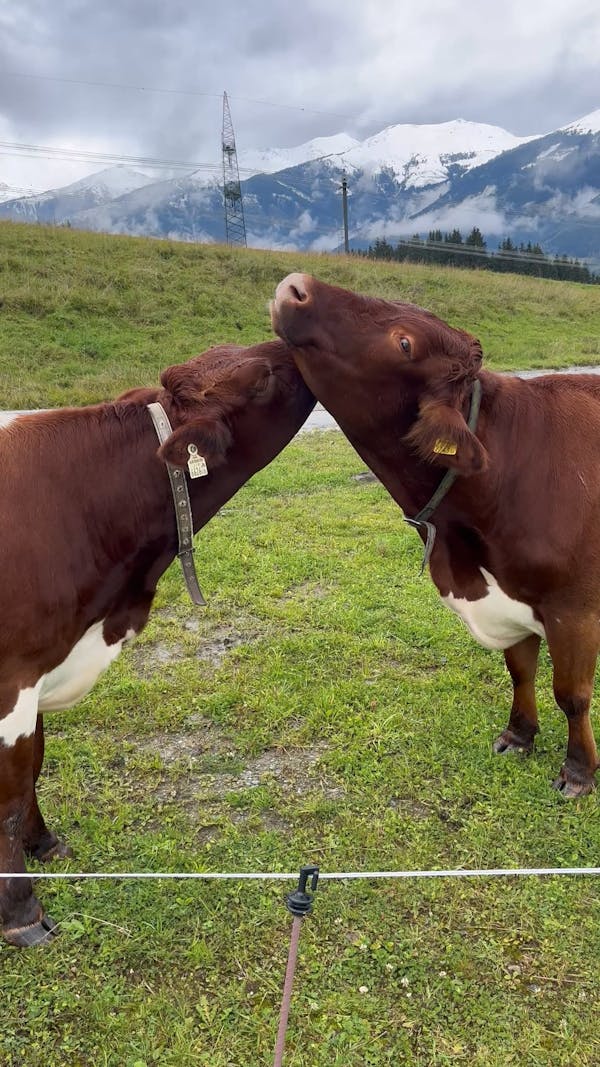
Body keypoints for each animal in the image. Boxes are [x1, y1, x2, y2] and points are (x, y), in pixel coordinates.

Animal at [0, 339, 314, 947]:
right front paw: (21, 913)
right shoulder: (11, 681)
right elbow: (7, 795)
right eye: (262, 377)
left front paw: (44, 843)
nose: (296, 343)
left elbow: (32, 771)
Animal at [271, 271, 600, 803]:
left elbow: (571, 695)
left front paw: (578, 771)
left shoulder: (575, 608)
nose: (295, 284)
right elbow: (520, 670)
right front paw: (518, 735)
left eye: (404, 342)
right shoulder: (506, 601)